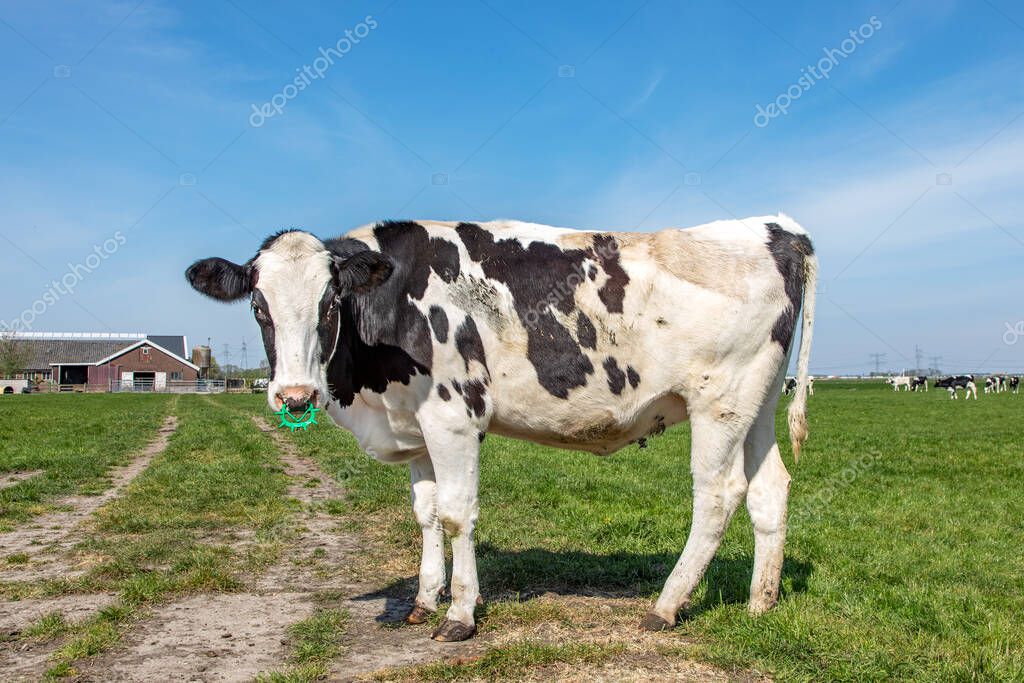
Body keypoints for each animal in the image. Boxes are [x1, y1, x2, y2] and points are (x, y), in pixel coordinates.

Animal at [186, 215, 817, 640]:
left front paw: (460, 614)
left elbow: (455, 513)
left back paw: (666, 604)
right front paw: (423, 599)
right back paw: (760, 604)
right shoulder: (415, 426)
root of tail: (776, 227)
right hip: (758, 400)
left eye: (329, 302)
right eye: (259, 307)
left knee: (718, 495)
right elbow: (425, 514)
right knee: (769, 490)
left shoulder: (453, 416)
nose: (295, 395)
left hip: (720, 399)